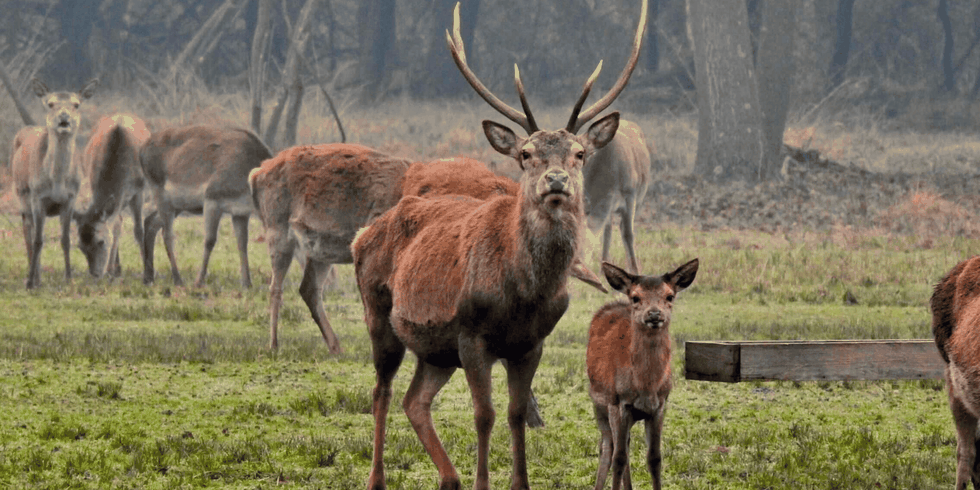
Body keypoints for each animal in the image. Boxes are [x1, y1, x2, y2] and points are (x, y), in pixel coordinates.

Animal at [11, 78, 99, 289]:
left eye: (76, 104)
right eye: (50, 104)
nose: (64, 116)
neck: (57, 182)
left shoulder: (71, 199)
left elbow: (65, 239)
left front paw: (69, 278)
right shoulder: (37, 198)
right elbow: (37, 241)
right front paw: (29, 282)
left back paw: (39, 276)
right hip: (21, 196)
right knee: (28, 235)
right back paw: (34, 277)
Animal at [74, 114, 151, 278]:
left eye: (101, 242)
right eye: (80, 246)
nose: (95, 273)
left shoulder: (139, 191)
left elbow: (138, 230)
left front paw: (148, 271)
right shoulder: (94, 184)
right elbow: (115, 224)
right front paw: (112, 269)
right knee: (118, 220)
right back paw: (117, 268)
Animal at [140, 125, 272, 288]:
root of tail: (141, 150)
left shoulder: (240, 211)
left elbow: (242, 243)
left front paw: (247, 283)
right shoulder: (212, 199)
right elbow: (210, 240)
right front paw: (198, 281)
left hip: (177, 204)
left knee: (150, 222)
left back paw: (148, 277)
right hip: (159, 192)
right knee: (167, 234)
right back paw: (177, 279)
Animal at [350, 1, 647, 488]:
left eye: (580, 153)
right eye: (526, 154)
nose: (556, 179)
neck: (523, 292)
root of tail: (363, 234)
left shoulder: (530, 342)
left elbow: (515, 414)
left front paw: (518, 481)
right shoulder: (472, 335)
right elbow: (484, 415)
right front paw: (482, 481)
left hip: (435, 349)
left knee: (415, 400)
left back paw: (449, 478)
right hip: (379, 313)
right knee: (382, 392)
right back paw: (378, 478)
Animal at [587, 259, 698, 490]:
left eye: (669, 296)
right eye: (636, 297)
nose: (654, 314)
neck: (646, 386)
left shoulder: (660, 405)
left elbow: (655, 458)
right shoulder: (618, 403)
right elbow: (618, 458)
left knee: (625, 445)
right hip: (599, 402)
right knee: (608, 447)